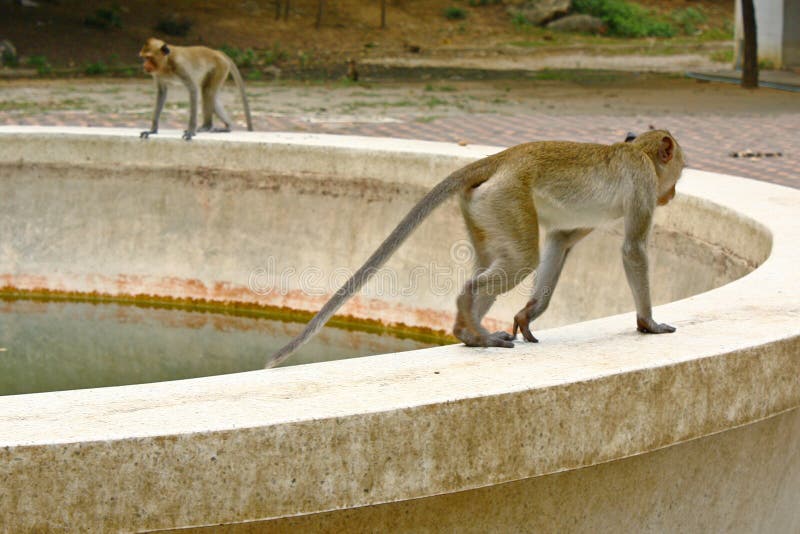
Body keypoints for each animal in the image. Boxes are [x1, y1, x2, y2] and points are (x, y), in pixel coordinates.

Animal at [266, 129, 685, 368]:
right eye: (679, 171)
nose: (674, 194)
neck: (640, 152)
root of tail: (503, 158)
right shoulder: (644, 184)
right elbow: (632, 250)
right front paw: (648, 323)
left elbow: (561, 240)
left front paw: (528, 315)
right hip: (507, 197)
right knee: (519, 261)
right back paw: (474, 325)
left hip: (482, 206)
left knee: (498, 260)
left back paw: (468, 332)